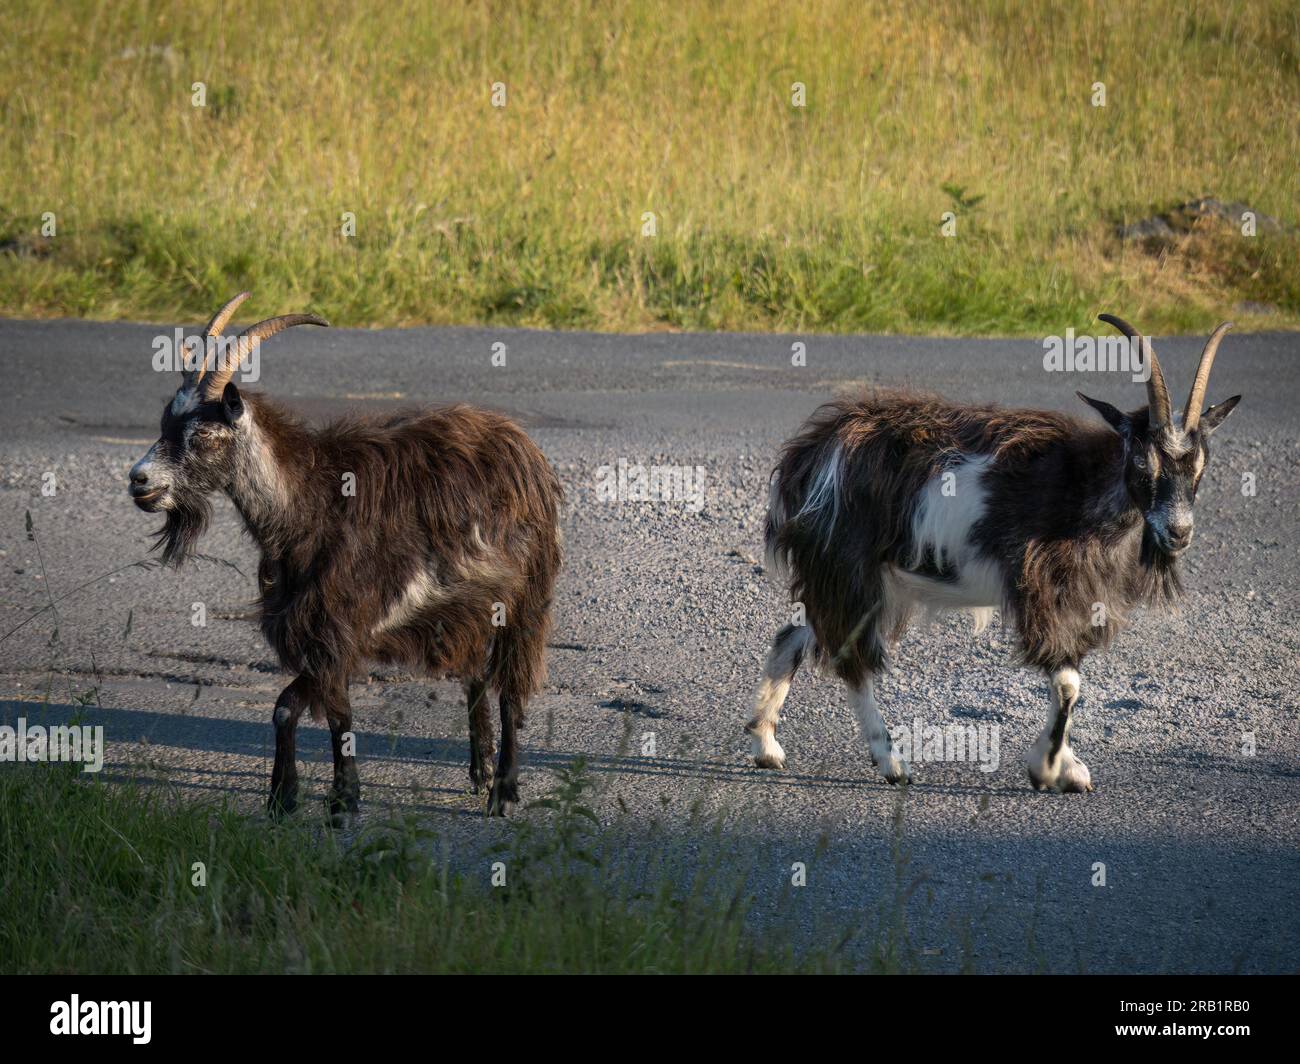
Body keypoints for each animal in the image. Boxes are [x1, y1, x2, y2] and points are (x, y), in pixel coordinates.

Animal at [129, 293, 563, 817]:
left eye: (205, 435)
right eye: (165, 423)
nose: (139, 480)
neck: (308, 503)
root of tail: (523, 446)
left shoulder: (337, 628)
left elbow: (337, 715)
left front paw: (343, 799)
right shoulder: (313, 633)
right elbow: (286, 708)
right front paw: (282, 798)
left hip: (525, 597)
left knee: (511, 687)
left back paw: (503, 790)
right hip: (470, 606)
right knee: (476, 674)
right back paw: (479, 770)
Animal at [746, 316, 1241, 792]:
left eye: (1200, 465)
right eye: (1141, 462)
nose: (1178, 532)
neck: (1084, 488)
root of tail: (804, 458)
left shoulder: (1082, 600)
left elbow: (1071, 678)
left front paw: (1068, 768)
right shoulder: (1043, 590)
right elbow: (1067, 684)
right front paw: (1048, 769)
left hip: (849, 575)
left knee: (793, 636)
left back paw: (766, 745)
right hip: (848, 567)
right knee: (851, 658)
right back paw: (892, 763)